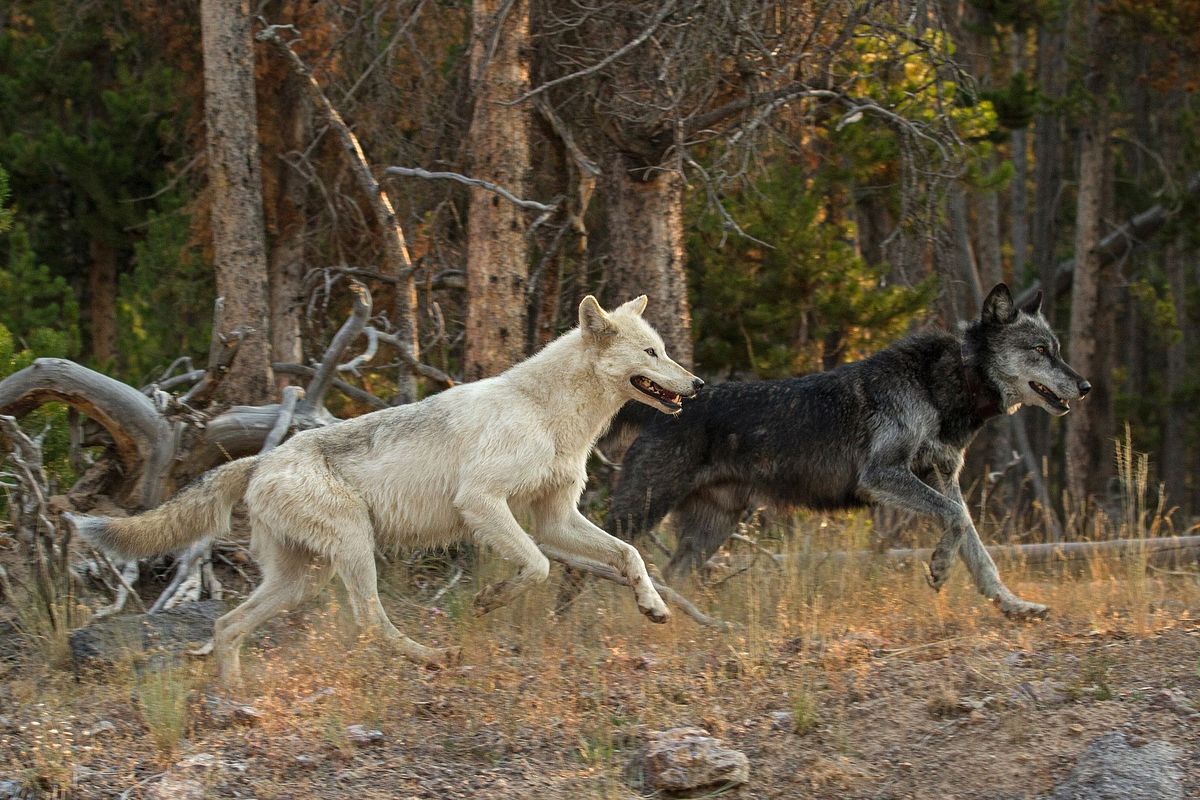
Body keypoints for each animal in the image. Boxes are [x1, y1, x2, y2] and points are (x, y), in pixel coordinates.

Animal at [69, 295, 702, 685]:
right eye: (652, 353)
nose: (696, 384)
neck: (552, 416)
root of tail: (262, 459)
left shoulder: (553, 519)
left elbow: (629, 553)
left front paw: (652, 606)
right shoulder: (482, 503)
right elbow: (537, 569)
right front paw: (488, 602)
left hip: (299, 581)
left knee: (228, 626)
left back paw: (233, 699)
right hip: (354, 552)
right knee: (370, 623)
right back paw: (435, 657)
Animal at [603, 283, 1089, 619]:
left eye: (1057, 350)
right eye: (1040, 350)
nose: (1084, 386)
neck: (943, 388)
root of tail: (659, 407)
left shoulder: (943, 479)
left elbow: (977, 549)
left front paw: (1013, 605)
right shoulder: (882, 476)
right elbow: (953, 522)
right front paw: (938, 568)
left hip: (711, 529)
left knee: (668, 573)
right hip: (643, 509)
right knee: (600, 558)